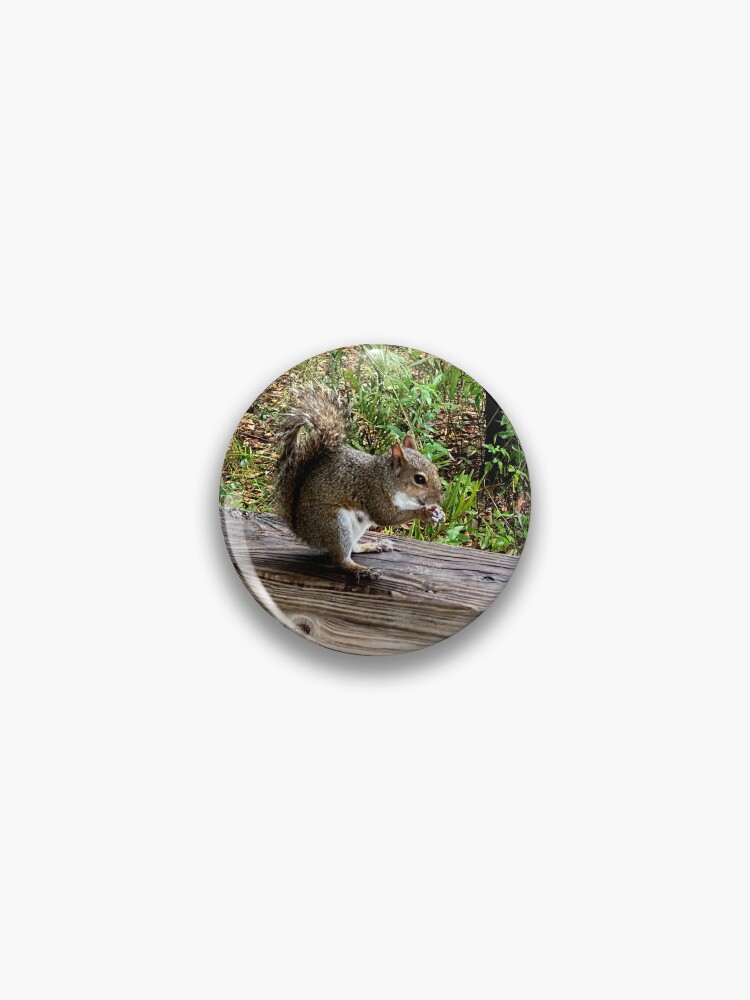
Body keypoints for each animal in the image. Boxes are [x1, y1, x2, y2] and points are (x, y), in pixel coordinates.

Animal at [275, 387, 446, 580]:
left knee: (353, 548)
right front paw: (424, 513)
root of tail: (303, 531)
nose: (440, 494)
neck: (385, 478)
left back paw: (372, 546)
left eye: (435, 467)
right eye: (419, 479)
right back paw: (360, 569)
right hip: (334, 524)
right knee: (341, 559)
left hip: (355, 528)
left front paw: (438, 512)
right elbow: (386, 517)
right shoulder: (374, 494)